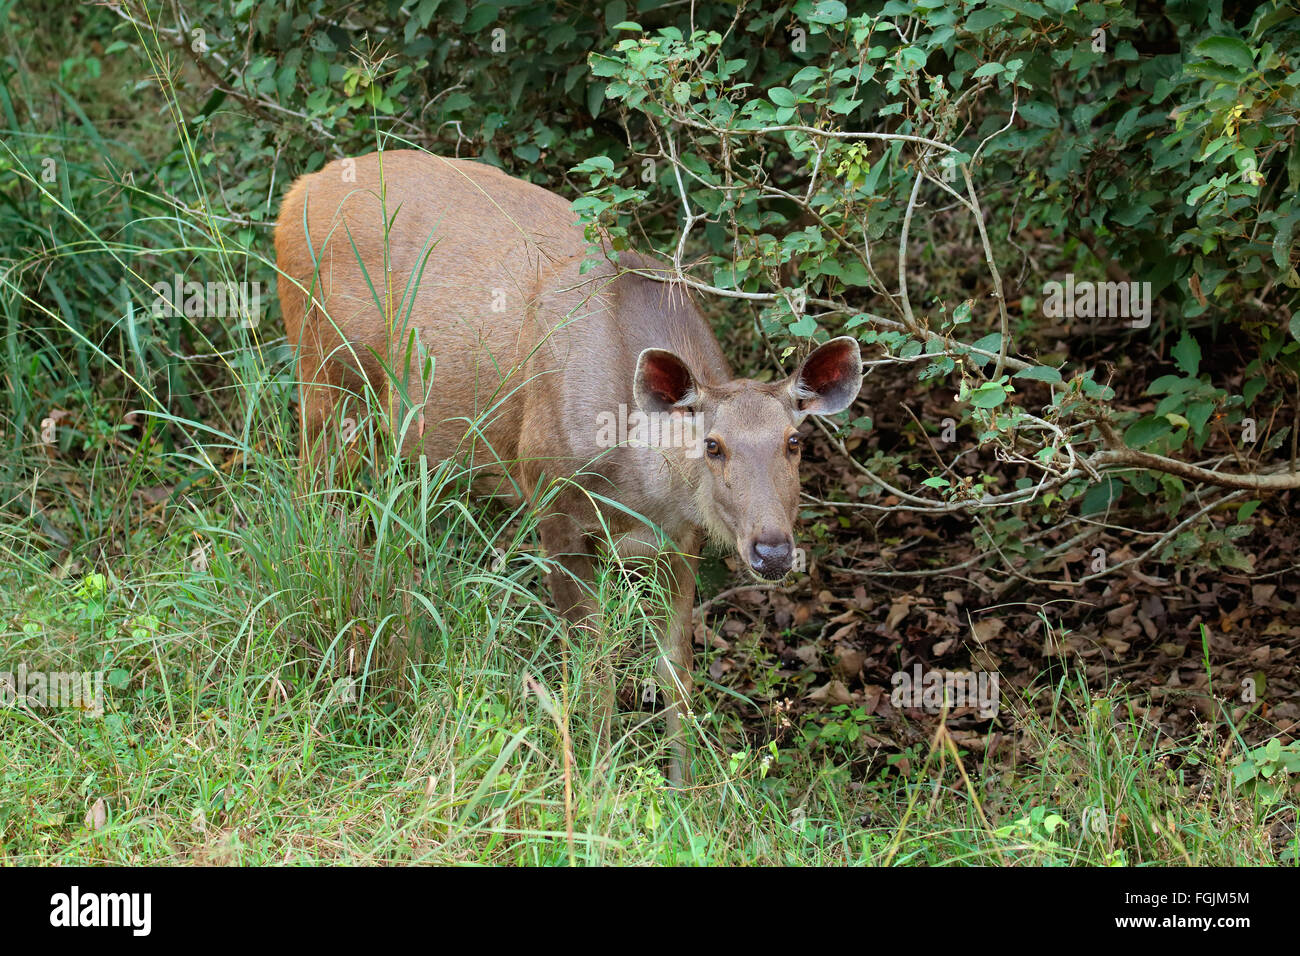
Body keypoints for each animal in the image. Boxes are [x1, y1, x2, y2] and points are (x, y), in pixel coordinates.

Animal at [274, 150, 863, 785]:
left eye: (795, 441)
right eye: (713, 445)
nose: (772, 550)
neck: (638, 486)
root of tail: (298, 191)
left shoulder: (680, 540)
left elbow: (674, 668)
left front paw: (685, 791)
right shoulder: (551, 505)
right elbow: (591, 659)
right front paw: (598, 781)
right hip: (326, 376)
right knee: (312, 502)